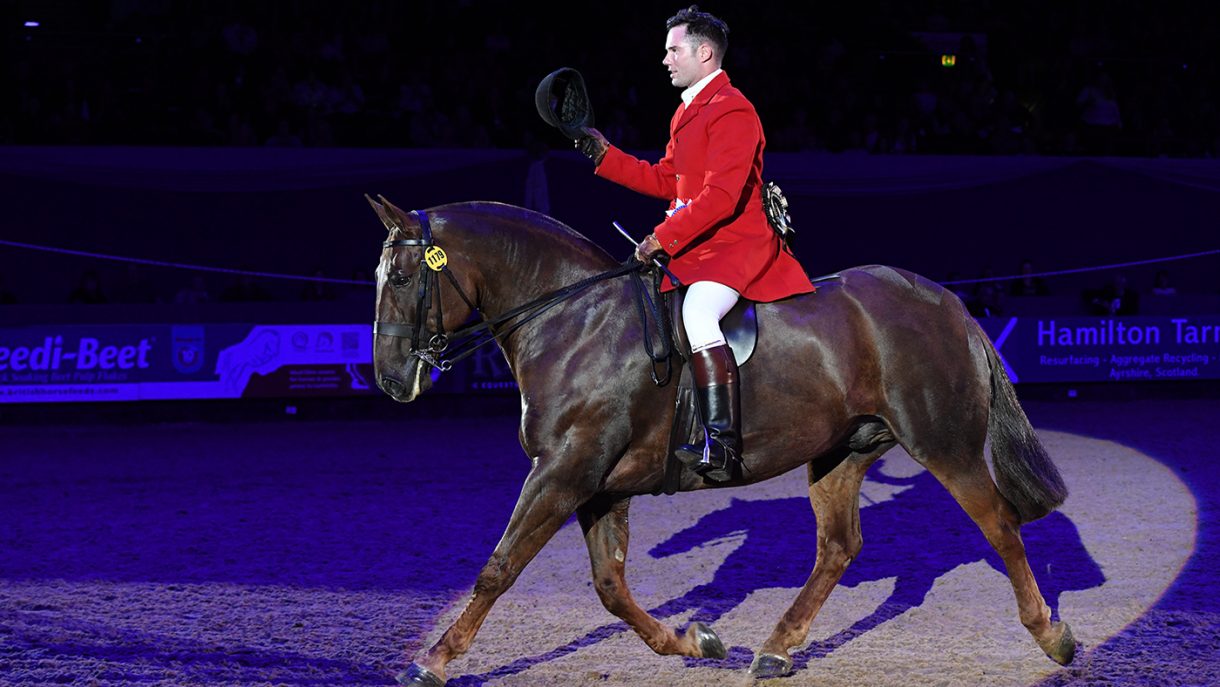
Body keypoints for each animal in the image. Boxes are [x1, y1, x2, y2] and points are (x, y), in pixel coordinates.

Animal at [367, 197, 1076, 686]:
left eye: (401, 279)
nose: (391, 379)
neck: (575, 320)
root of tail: (944, 300)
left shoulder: (564, 470)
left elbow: (499, 567)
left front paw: (434, 660)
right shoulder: (594, 484)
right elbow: (610, 586)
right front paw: (694, 642)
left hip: (943, 444)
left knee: (999, 525)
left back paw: (1052, 637)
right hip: (840, 453)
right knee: (838, 547)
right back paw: (776, 650)